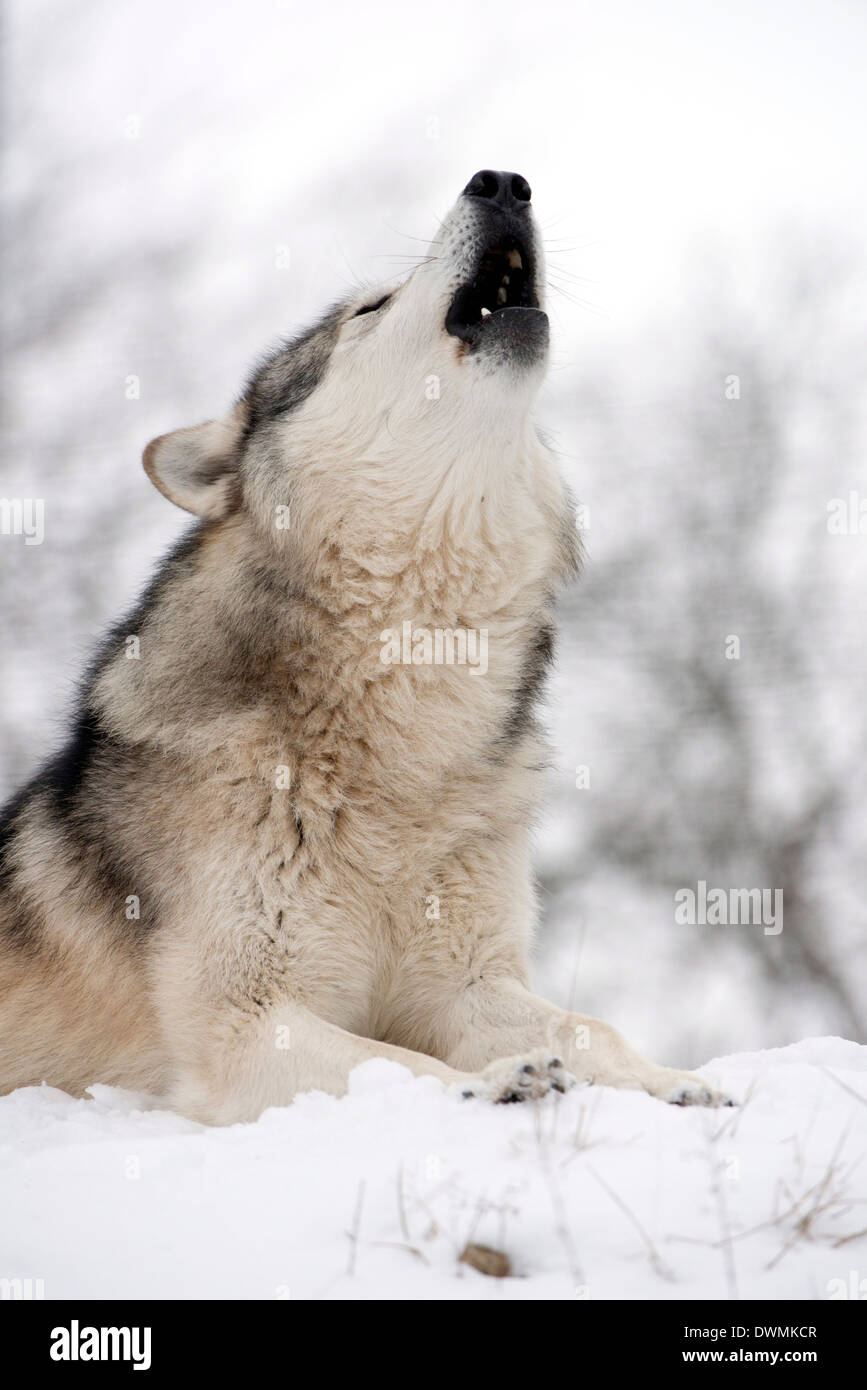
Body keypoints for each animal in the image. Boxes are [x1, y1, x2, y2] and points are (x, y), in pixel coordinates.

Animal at [0, 170, 733, 1117]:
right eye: (370, 309)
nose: (501, 181)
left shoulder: (467, 981)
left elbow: (588, 1027)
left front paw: (673, 1084)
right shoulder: (245, 1026)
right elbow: (396, 1068)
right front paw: (500, 1082)